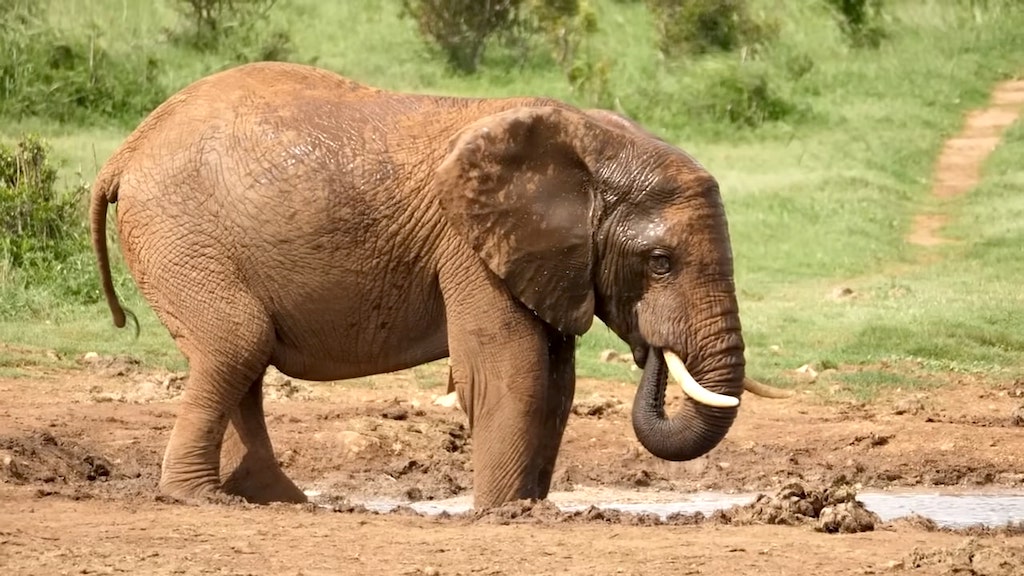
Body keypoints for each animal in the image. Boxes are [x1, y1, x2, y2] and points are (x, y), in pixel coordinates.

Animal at [90, 62, 784, 508]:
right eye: (660, 263)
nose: (651, 352)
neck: (591, 144)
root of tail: (125, 151)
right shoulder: (469, 247)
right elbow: (512, 372)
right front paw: (505, 514)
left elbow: (557, 382)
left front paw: (529, 508)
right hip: (179, 230)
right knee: (237, 344)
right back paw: (199, 498)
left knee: (242, 357)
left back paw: (275, 499)